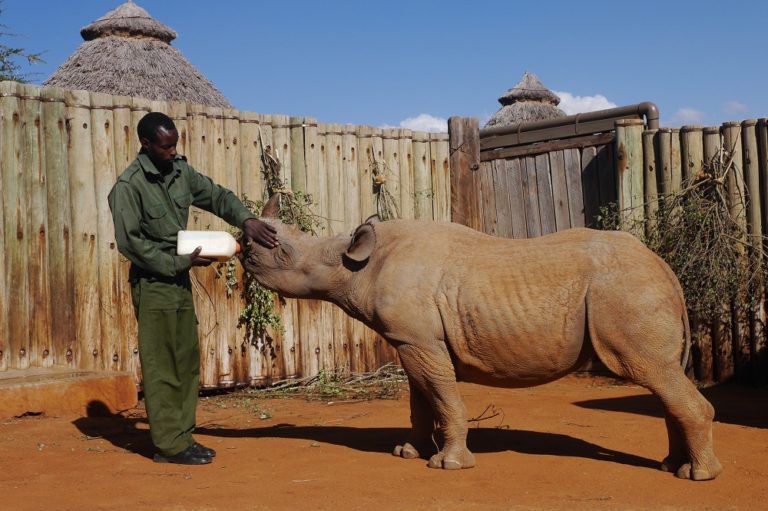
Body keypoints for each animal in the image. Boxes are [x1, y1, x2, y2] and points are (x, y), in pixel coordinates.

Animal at [242, 194, 722, 480]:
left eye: (285, 252)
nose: (245, 248)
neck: (355, 262)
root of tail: (665, 268)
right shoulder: (411, 340)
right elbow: (421, 402)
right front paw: (407, 453)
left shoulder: (419, 341)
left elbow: (445, 399)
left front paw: (448, 465)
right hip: (635, 288)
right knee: (662, 379)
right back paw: (673, 467)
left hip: (625, 291)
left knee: (650, 371)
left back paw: (700, 477)